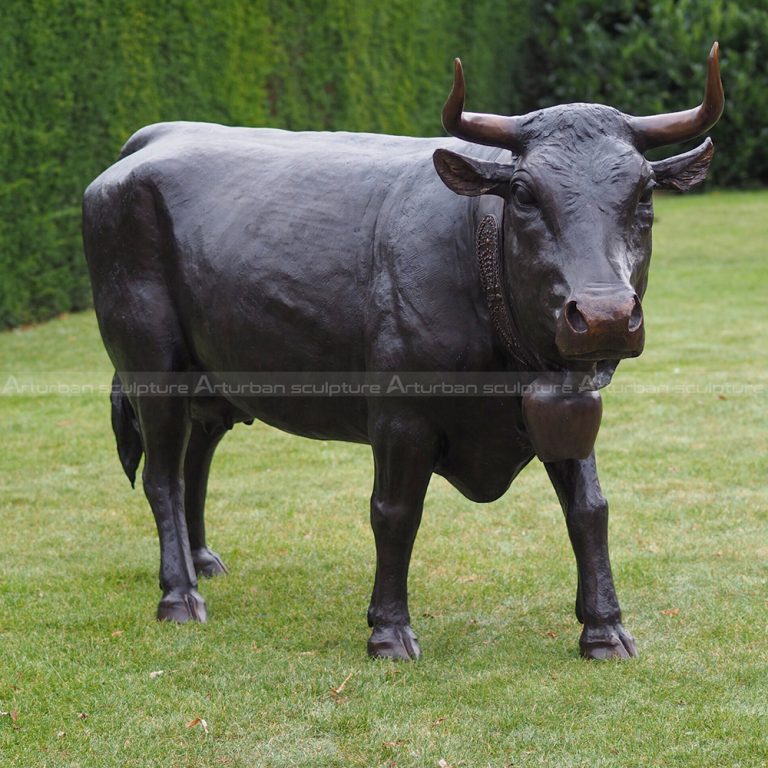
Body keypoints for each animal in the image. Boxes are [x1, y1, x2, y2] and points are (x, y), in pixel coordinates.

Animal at [83, 44, 723, 660]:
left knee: (195, 459)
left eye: (644, 192)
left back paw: (201, 561)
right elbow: (394, 512)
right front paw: (388, 631)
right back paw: (179, 593)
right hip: (150, 366)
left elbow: (590, 508)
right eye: (523, 193)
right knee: (162, 475)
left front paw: (605, 629)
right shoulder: (399, 416)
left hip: (213, 380)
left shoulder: (570, 403)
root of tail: (143, 147)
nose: (604, 315)